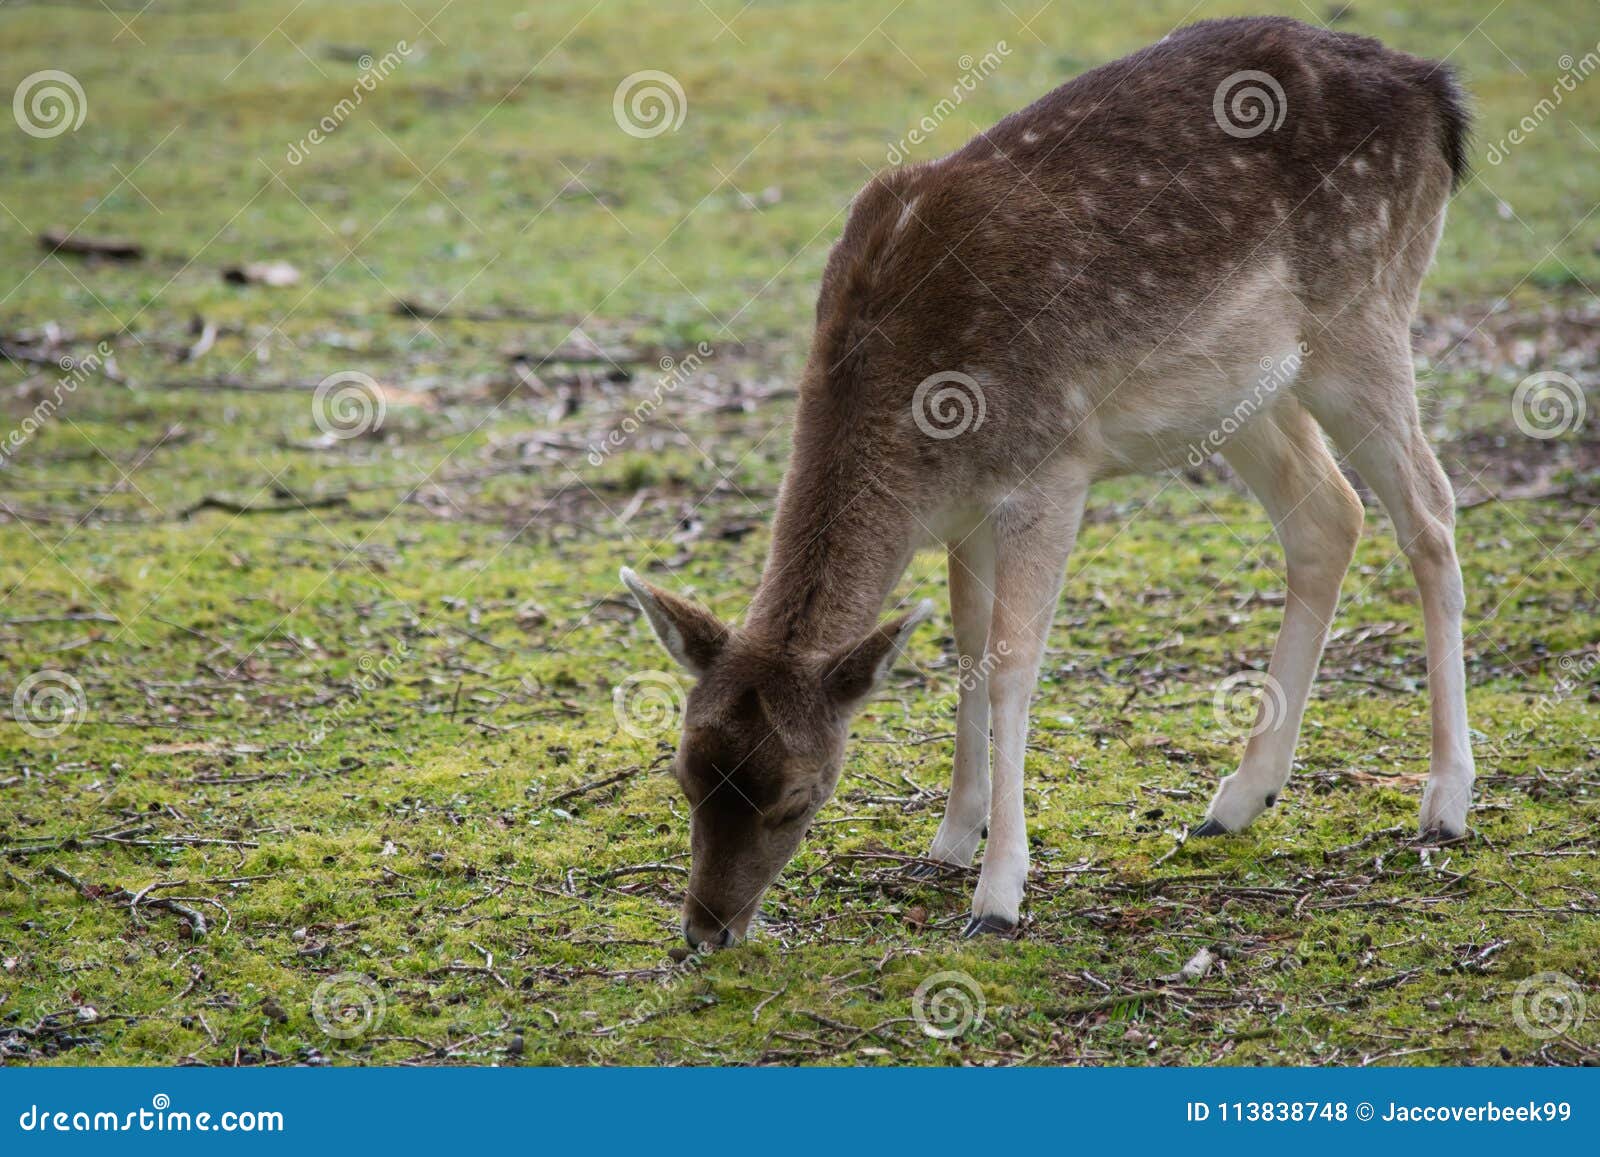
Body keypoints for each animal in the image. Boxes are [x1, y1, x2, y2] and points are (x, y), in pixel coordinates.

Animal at [621, 15, 1474, 948]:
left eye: (797, 795)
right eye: (684, 774)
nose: (706, 929)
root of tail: (1435, 92)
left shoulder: (1050, 470)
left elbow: (1011, 665)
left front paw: (998, 894)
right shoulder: (963, 508)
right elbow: (964, 648)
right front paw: (951, 838)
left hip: (1364, 310)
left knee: (1430, 508)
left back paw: (1445, 802)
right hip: (1247, 387)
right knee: (1329, 515)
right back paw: (1238, 799)